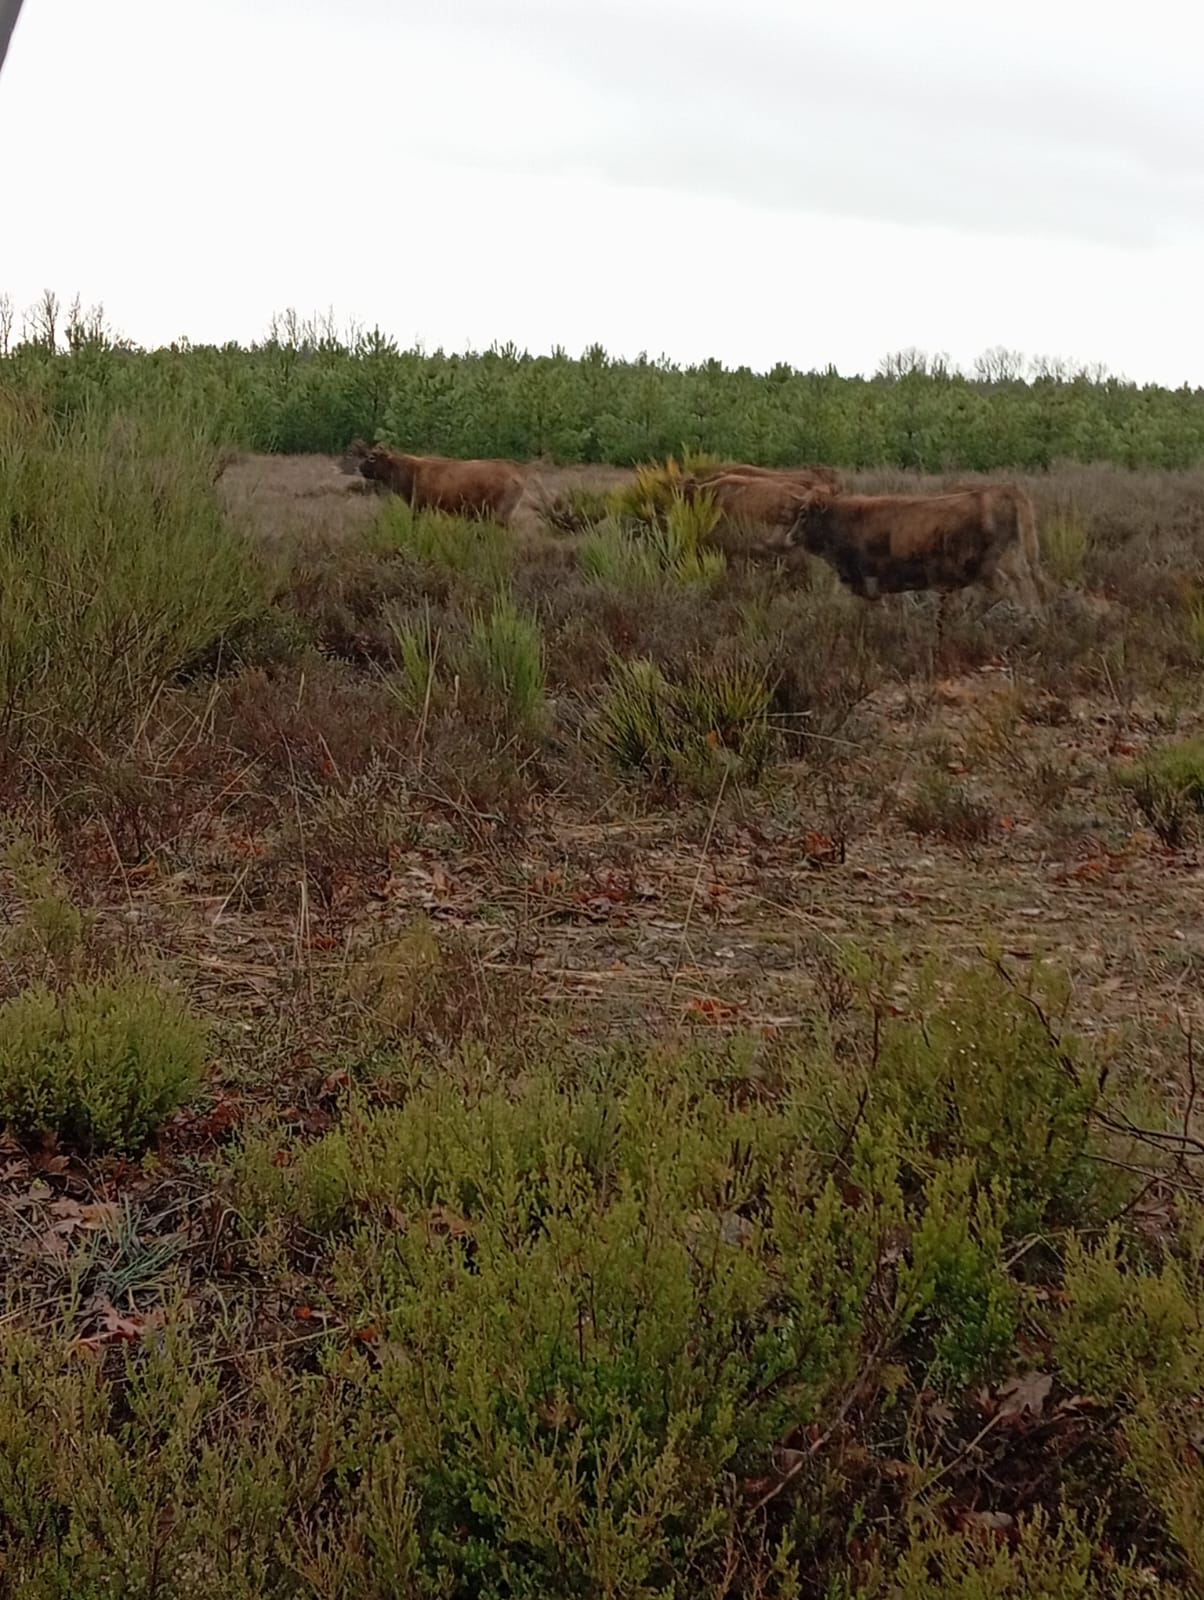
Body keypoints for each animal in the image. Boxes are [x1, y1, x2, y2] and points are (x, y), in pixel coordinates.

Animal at [339, 441, 527, 525]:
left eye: (372, 457)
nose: (359, 468)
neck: (411, 473)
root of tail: (516, 469)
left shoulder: (420, 506)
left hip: (501, 513)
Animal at [785, 484, 1051, 608]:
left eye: (803, 514)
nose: (790, 537)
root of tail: (999, 489)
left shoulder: (872, 579)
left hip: (987, 566)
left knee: (1009, 587)